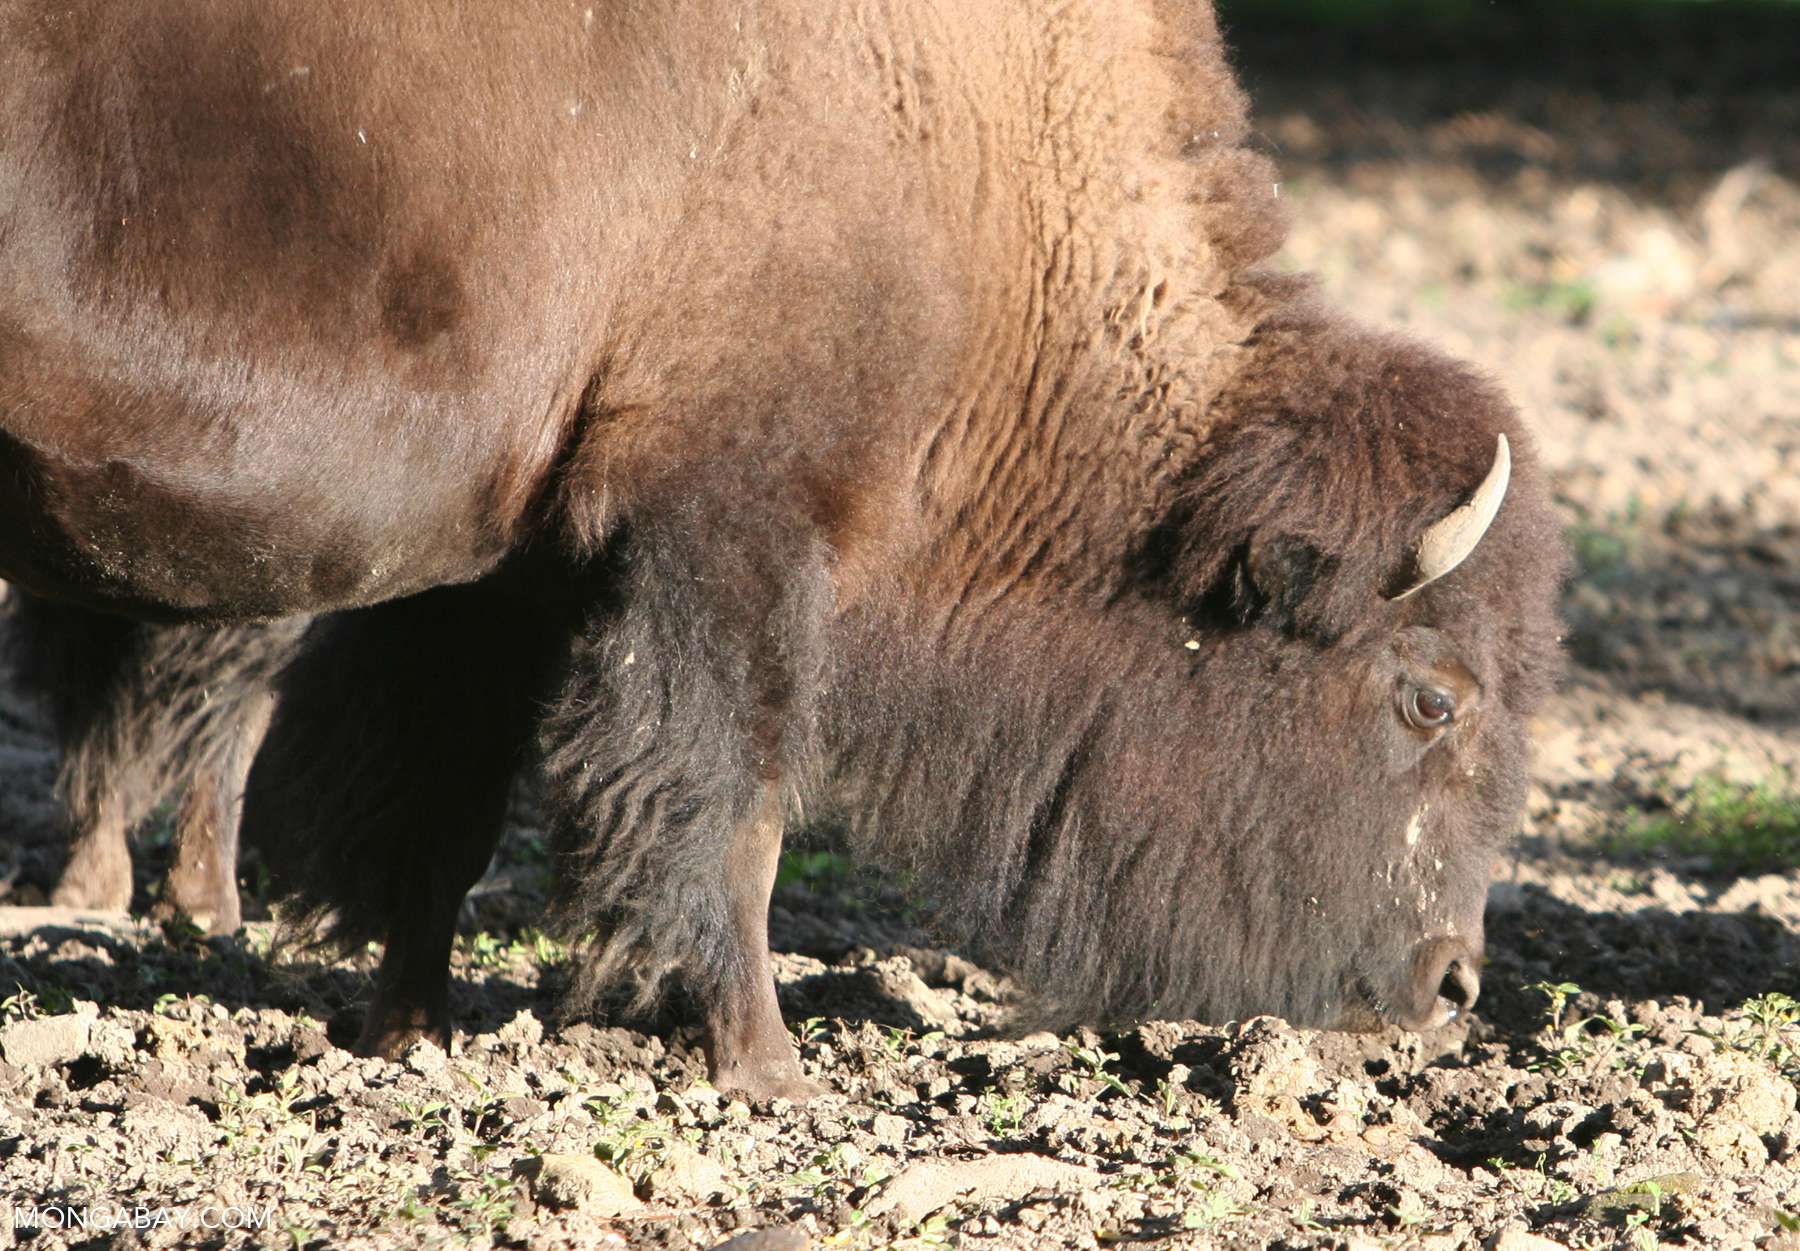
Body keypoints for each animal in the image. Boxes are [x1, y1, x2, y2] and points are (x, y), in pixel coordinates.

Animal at [0, 0, 1562, 1099]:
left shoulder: (499, 576)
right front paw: (765, 1066)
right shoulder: (734, 536)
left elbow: (440, 811)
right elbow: (738, 811)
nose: (1452, 987)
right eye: (1430, 696)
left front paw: (407, 1033)